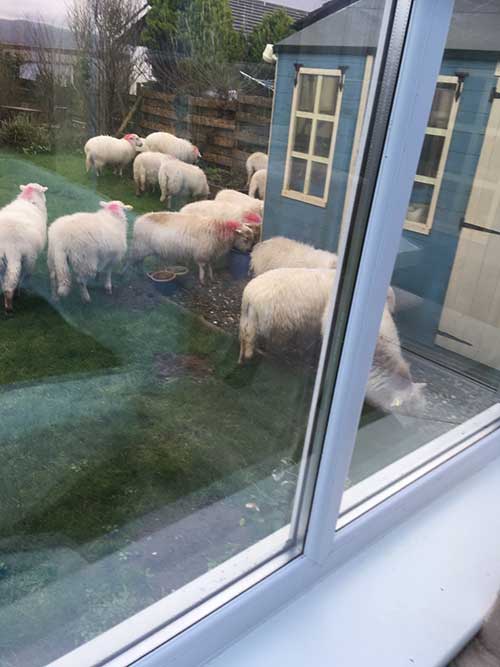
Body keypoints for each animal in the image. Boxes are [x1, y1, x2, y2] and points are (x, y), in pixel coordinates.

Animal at [238, 267, 424, 411]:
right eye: (408, 406)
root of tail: (249, 294)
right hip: (271, 325)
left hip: (248, 321)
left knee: (246, 339)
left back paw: (244, 358)